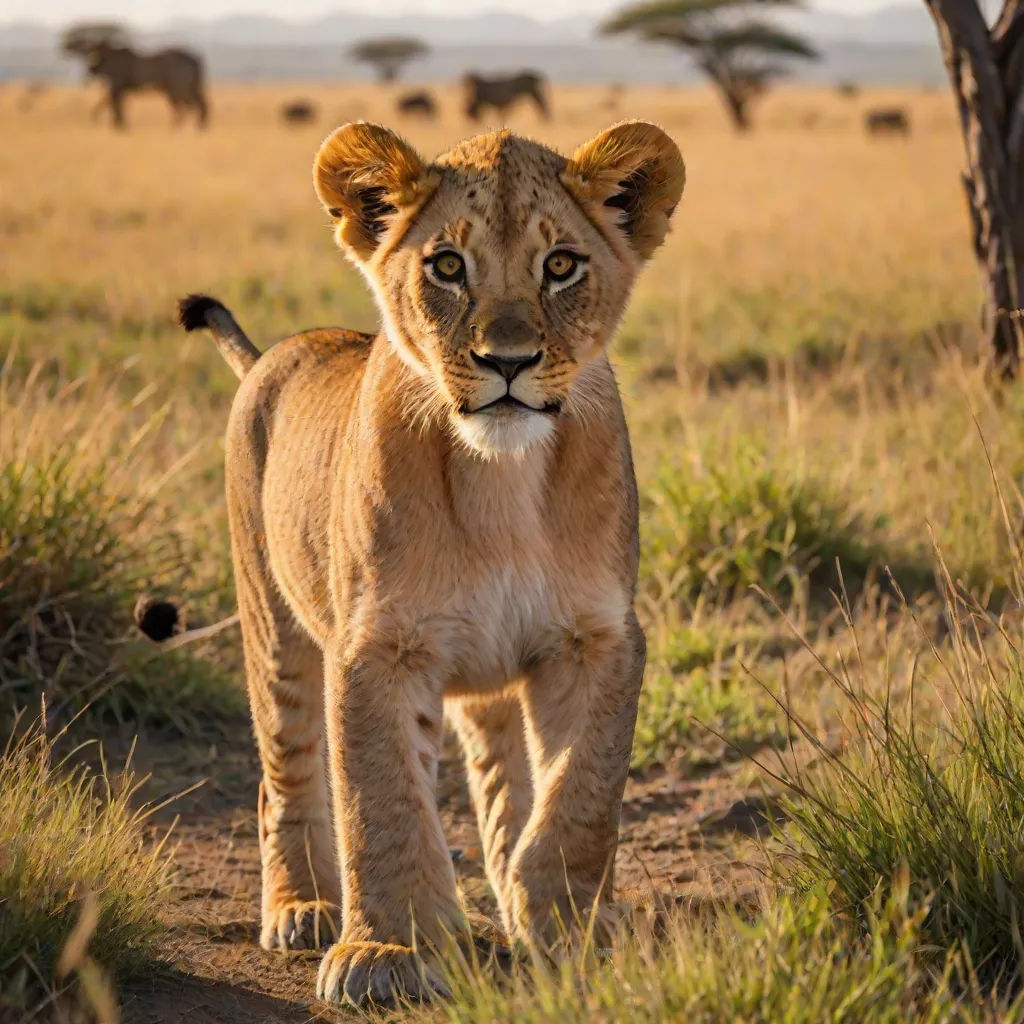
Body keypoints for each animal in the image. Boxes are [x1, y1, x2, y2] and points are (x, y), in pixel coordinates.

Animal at [178, 119, 684, 1007]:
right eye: (447, 266)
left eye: (562, 265)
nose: (508, 362)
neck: (501, 483)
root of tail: (276, 350)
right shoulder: (379, 644)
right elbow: (382, 802)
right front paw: (389, 950)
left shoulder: (598, 639)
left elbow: (580, 796)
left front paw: (565, 923)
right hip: (272, 621)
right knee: (286, 773)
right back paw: (304, 908)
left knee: (502, 778)